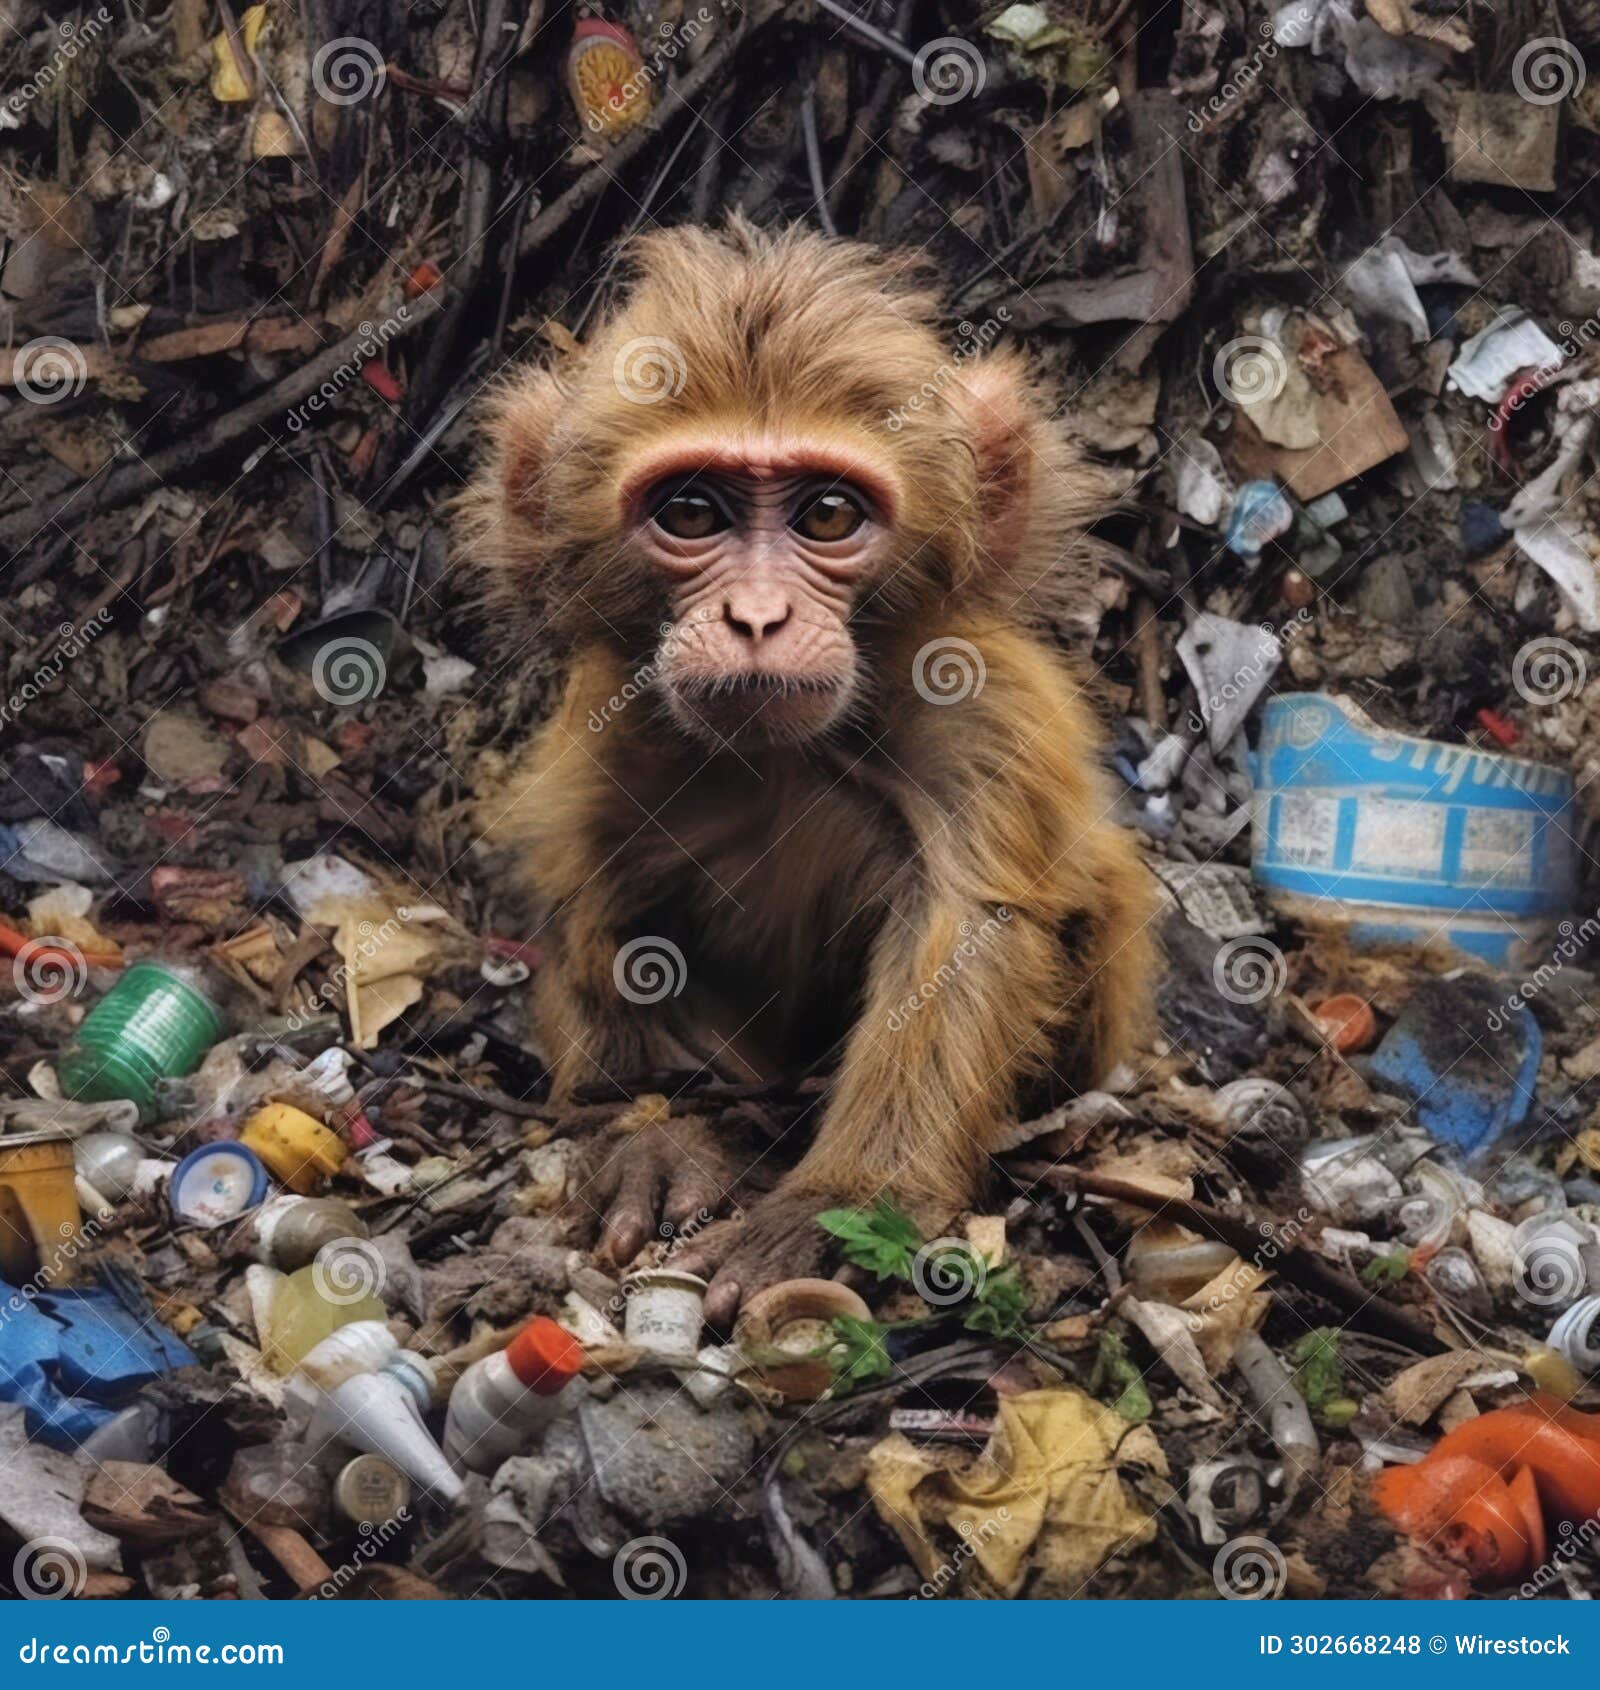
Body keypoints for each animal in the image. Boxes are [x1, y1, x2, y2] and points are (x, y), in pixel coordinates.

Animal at [456, 220, 1156, 1325]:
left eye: (827, 516)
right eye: (692, 513)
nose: (756, 618)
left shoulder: (976, 712)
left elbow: (970, 924)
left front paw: (841, 1201)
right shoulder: (613, 724)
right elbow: (598, 909)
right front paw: (654, 1133)